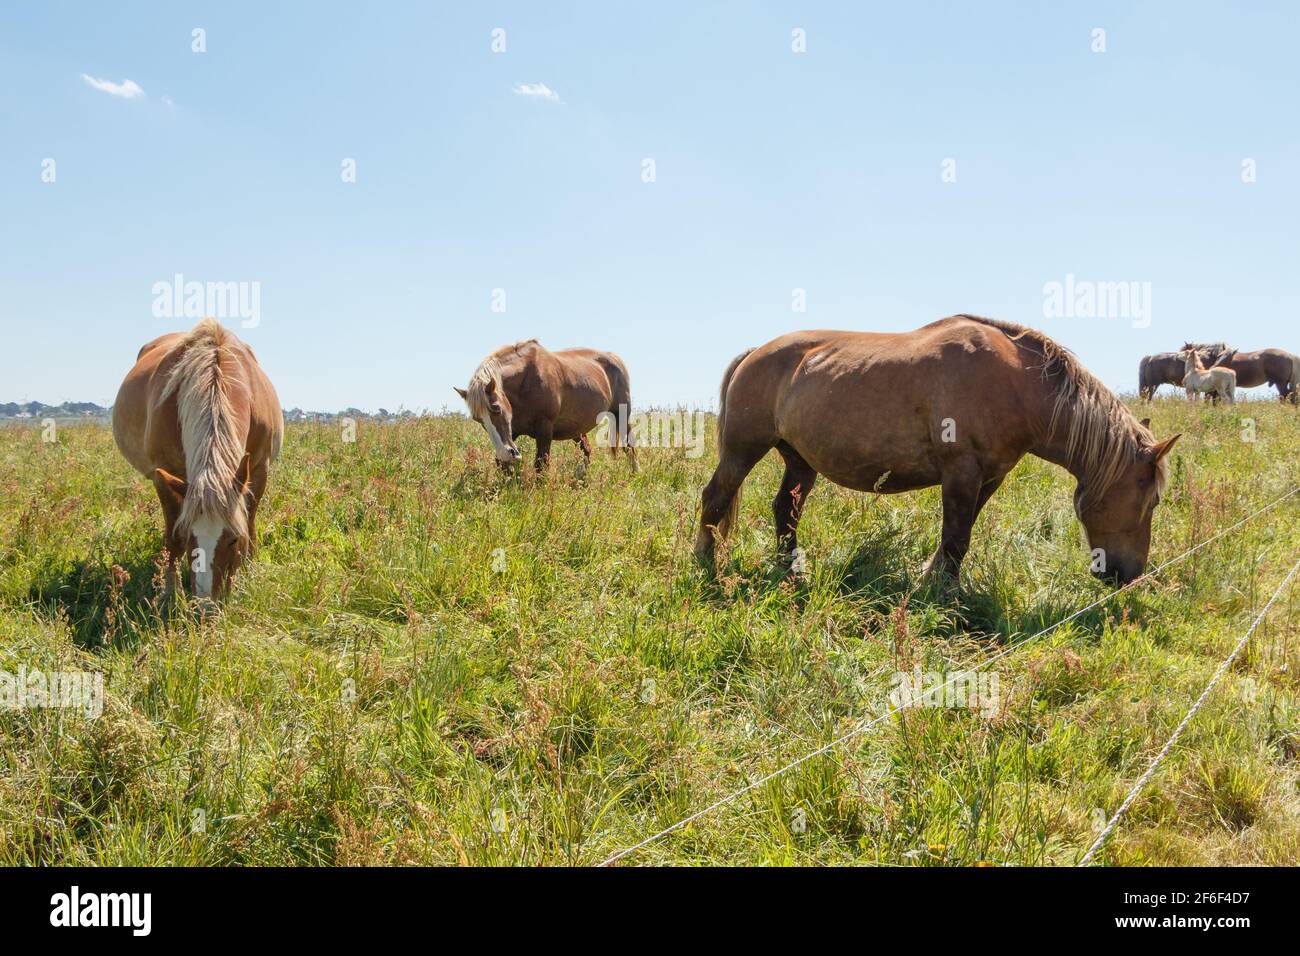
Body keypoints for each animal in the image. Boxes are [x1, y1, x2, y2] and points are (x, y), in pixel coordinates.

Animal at [112, 319, 283, 598]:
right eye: (190, 537)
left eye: (233, 539)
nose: (207, 604)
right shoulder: (164, 477)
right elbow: (172, 537)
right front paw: (170, 591)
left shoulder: (259, 469)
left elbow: (250, 521)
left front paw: (247, 573)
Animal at [455, 340, 636, 471]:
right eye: (478, 420)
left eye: (497, 409)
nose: (506, 454)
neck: (526, 380)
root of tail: (614, 358)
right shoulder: (512, 434)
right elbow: (504, 466)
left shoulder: (545, 429)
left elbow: (541, 465)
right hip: (576, 429)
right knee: (586, 450)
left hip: (621, 416)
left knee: (629, 447)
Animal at [695, 315, 1180, 585]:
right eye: (1151, 501)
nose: (1128, 575)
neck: (1017, 384)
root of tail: (755, 352)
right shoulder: (961, 472)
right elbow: (956, 538)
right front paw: (944, 594)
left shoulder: (990, 476)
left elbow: (958, 537)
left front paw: (935, 580)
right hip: (742, 449)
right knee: (716, 497)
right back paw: (706, 562)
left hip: (799, 460)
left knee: (785, 508)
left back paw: (791, 568)